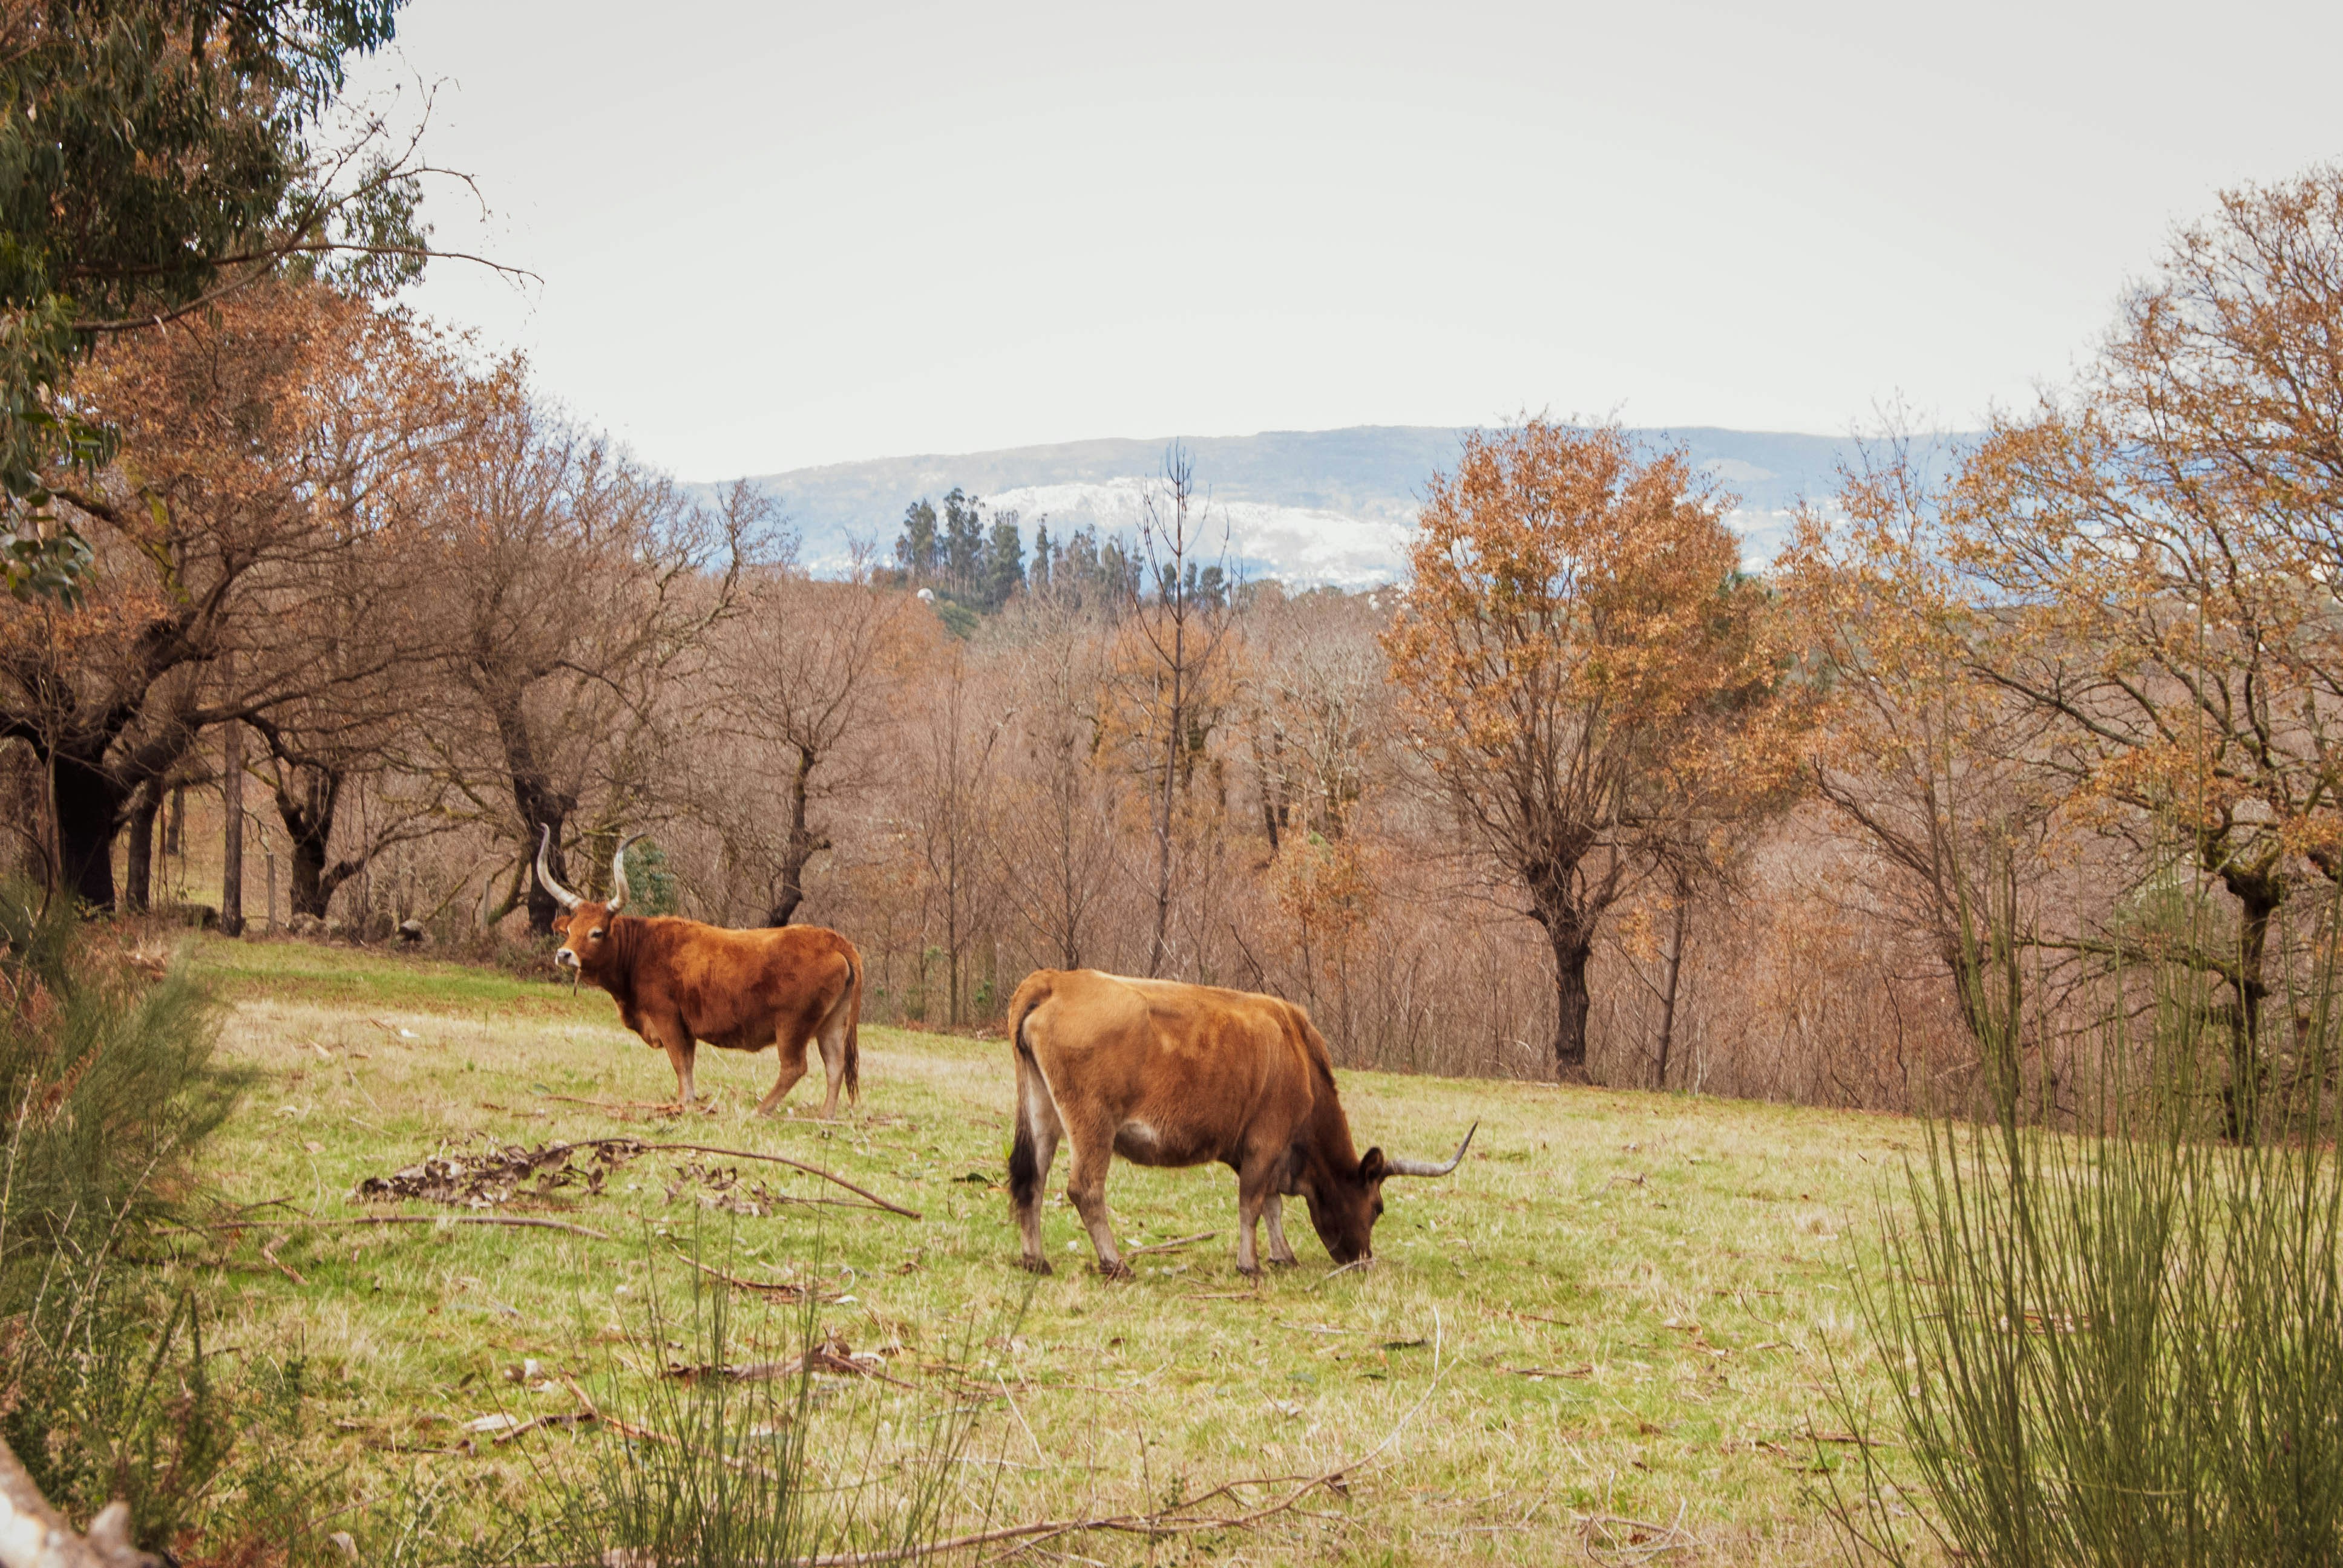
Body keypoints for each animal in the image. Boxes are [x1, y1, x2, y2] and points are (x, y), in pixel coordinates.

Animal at [535, 828, 863, 1117]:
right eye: (570, 930)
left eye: (597, 932)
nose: (564, 955)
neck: (642, 947)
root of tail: (832, 939)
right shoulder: (686, 1025)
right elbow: (688, 1063)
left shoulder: (666, 1016)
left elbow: (680, 1061)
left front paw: (684, 1103)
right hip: (832, 1023)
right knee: (835, 1065)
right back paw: (825, 1116)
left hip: (792, 1025)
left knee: (795, 1067)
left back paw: (760, 1110)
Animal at [1004, 968, 1474, 1278]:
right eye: (1377, 1207)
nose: (1362, 1259)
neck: (1296, 1051)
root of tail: (1058, 980)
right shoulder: (1265, 1140)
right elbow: (1252, 1201)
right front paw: (1250, 1264)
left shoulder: (1265, 1149)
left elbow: (1271, 1203)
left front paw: (1282, 1255)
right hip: (1093, 1123)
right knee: (1085, 1188)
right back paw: (1115, 1262)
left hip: (1042, 1112)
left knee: (1032, 1180)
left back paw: (1035, 1260)